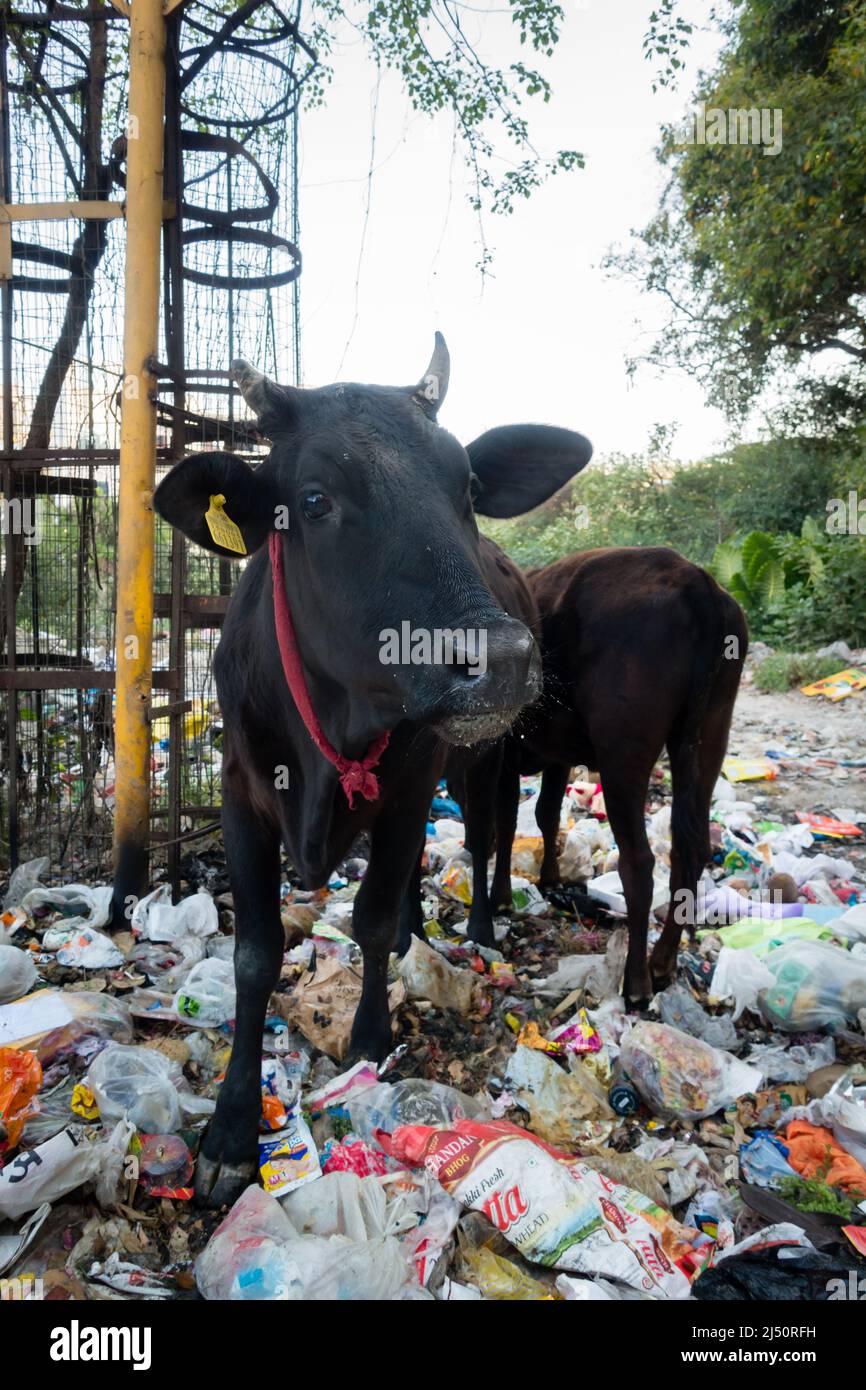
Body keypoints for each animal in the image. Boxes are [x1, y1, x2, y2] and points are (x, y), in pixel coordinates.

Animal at [153, 335, 593, 1205]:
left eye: (467, 487)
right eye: (315, 498)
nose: (500, 658)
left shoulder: (412, 783)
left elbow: (373, 921)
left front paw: (370, 1035)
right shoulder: (240, 795)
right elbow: (255, 955)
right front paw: (230, 1127)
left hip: (479, 764)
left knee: (481, 842)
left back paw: (476, 930)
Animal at [432, 547, 747, 1004]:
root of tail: (696, 582)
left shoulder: (507, 754)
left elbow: (508, 821)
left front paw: (501, 895)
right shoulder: (557, 756)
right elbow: (546, 814)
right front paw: (550, 878)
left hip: (622, 755)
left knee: (640, 864)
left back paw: (637, 980)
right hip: (710, 738)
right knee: (691, 851)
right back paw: (663, 961)